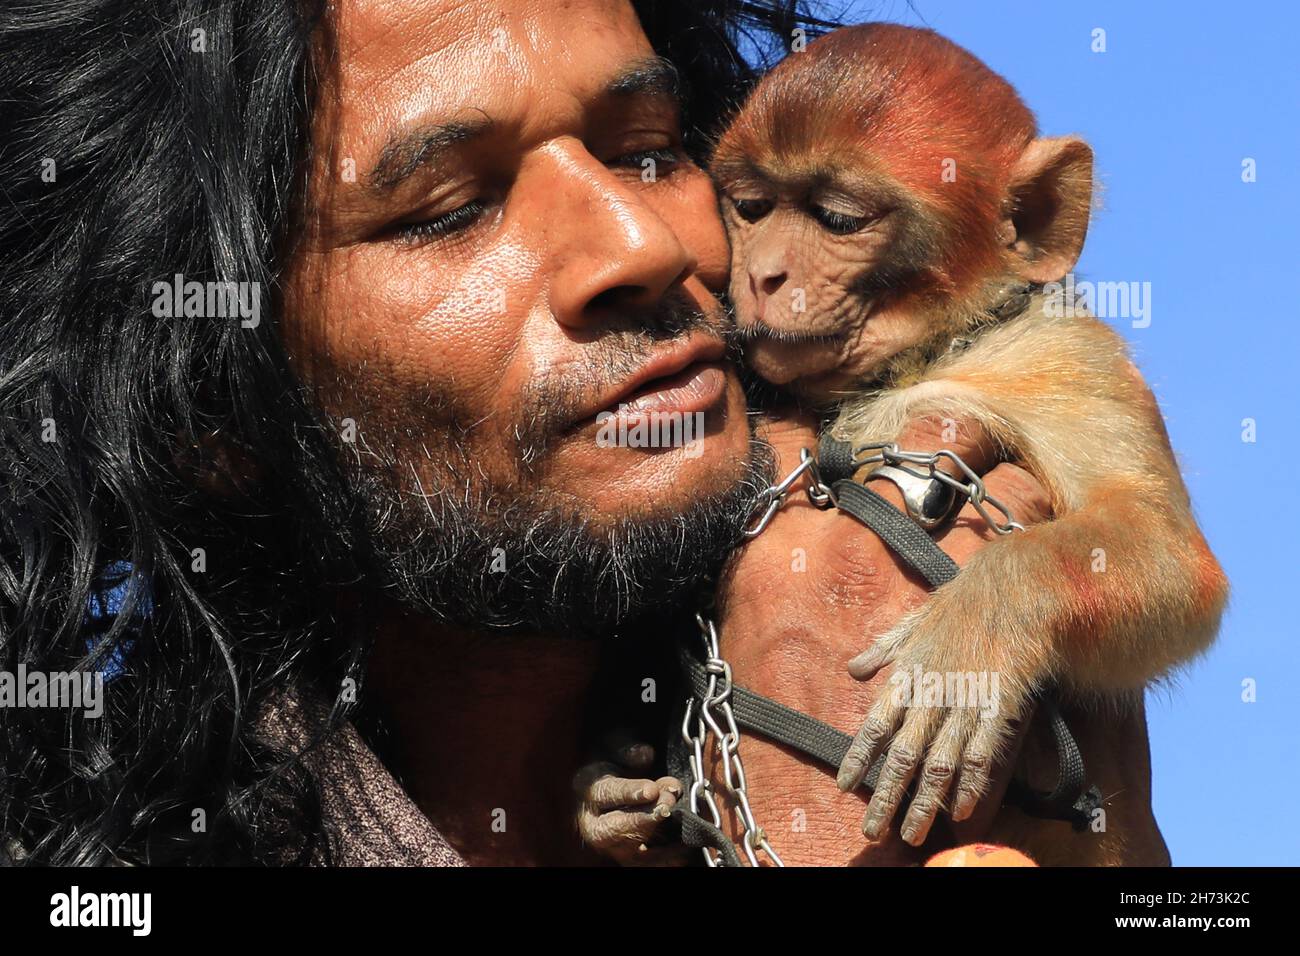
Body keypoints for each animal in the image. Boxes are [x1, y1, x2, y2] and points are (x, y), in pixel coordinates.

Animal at [577, 22, 1227, 864]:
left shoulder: (1063, 358)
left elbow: (1166, 551)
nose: (764, 274)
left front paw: (973, 638)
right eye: (750, 207)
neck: (917, 357)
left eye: (838, 220)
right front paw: (611, 791)